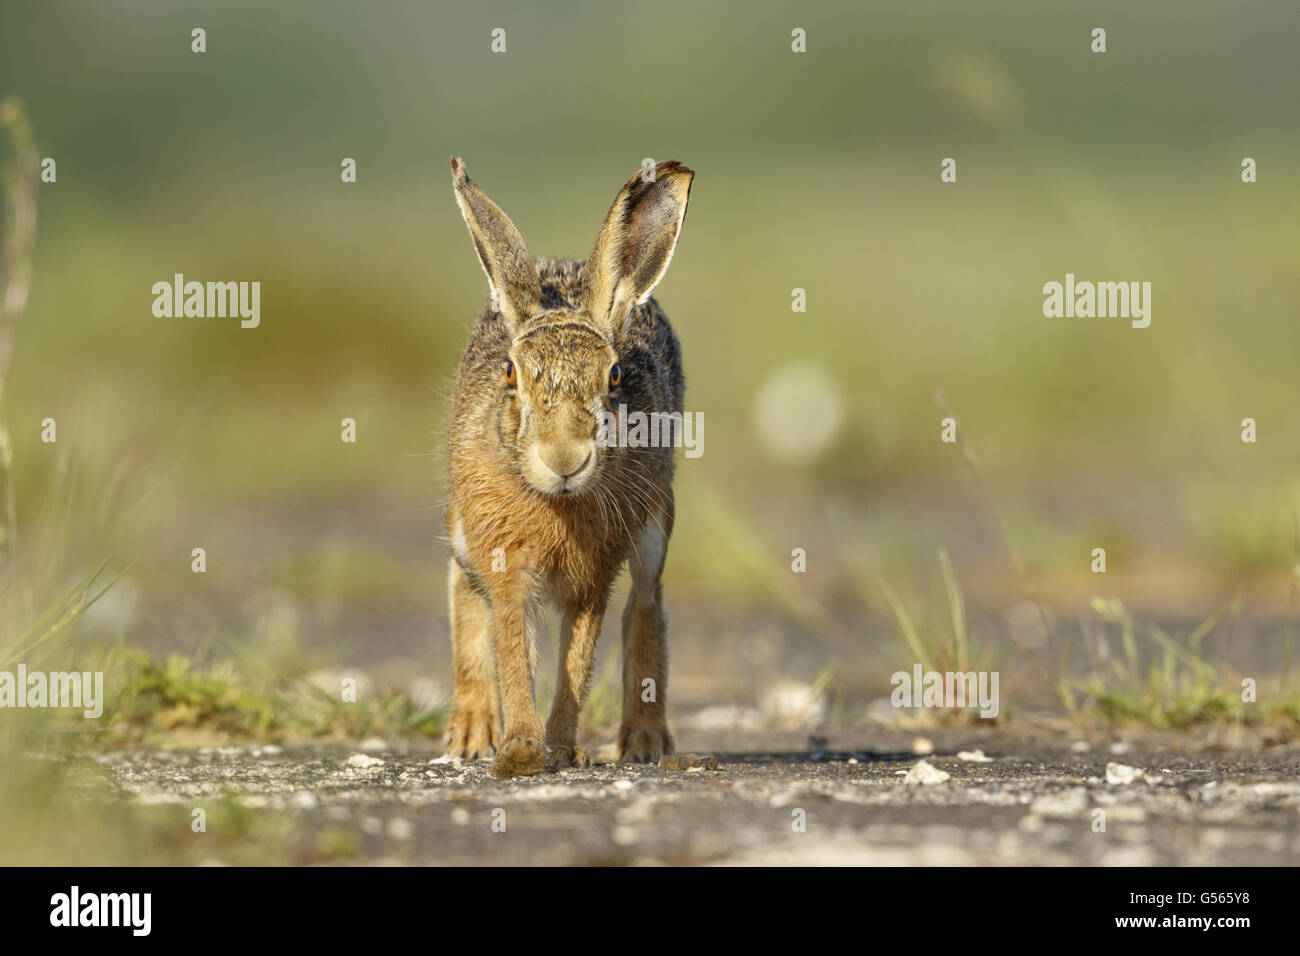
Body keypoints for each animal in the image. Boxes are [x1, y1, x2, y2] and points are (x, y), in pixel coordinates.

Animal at [443, 156, 694, 778]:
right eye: (511, 373)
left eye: (614, 376)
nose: (564, 459)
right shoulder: (505, 563)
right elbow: (512, 647)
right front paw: (519, 750)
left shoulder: (593, 578)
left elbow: (576, 659)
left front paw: (558, 748)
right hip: (461, 531)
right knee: (464, 599)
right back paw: (470, 732)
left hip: (655, 525)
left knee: (645, 608)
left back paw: (644, 741)